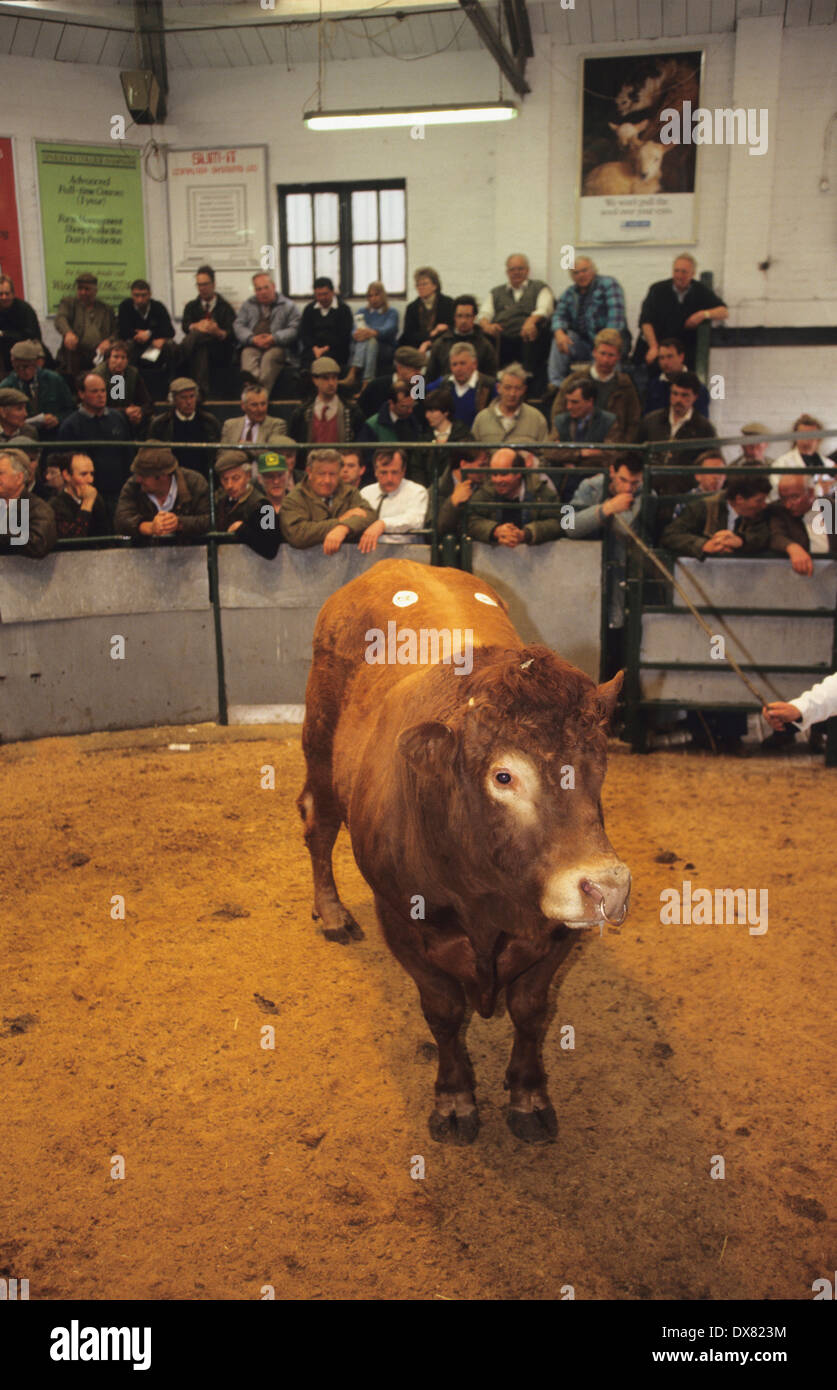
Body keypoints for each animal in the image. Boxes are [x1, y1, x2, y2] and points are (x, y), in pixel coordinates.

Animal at [297, 560, 631, 1145]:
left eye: (599, 764)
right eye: (503, 776)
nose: (607, 887)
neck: (485, 899)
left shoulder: (558, 932)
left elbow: (530, 1008)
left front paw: (528, 1095)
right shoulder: (401, 922)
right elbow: (444, 1011)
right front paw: (454, 1100)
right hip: (320, 751)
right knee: (319, 828)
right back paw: (332, 912)